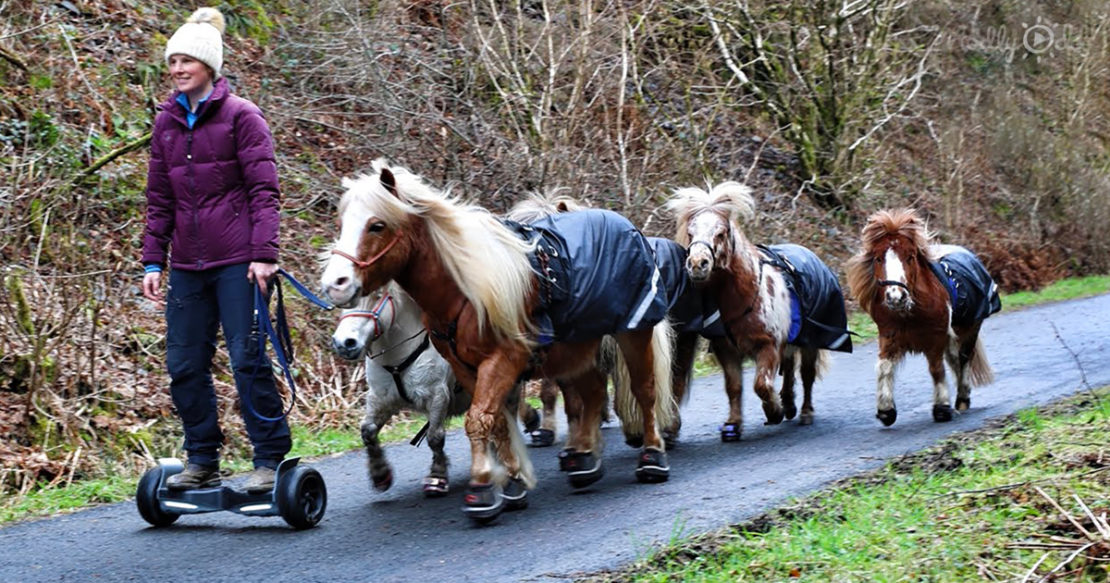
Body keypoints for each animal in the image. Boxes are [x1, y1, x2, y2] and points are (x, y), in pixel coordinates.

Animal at [331, 281, 470, 497]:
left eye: (376, 295)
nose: (344, 344)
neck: (399, 357)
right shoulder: (380, 398)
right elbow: (367, 431)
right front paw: (380, 474)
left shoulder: (437, 397)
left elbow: (434, 437)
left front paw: (437, 477)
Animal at [667, 182, 852, 436]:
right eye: (691, 233)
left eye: (721, 233)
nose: (697, 264)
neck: (744, 296)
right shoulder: (727, 351)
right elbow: (734, 387)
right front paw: (733, 424)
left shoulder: (768, 346)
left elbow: (761, 384)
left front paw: (773, 411)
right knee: (789, 367)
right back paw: (789, 403)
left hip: (810, 342)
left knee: (806, 374)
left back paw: (805, 412)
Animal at [845, 208, 1001, 426]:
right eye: (878, 258)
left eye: (910, 257)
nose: (895, 297)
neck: (910, 313)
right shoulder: (889, 336)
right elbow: (884, 367)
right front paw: (886, 410)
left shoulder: (935, 338)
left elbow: (936, 369)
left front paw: (942, 408)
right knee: (955, 359)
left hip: (970, 329)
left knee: (964, 359)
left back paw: (962, 398)